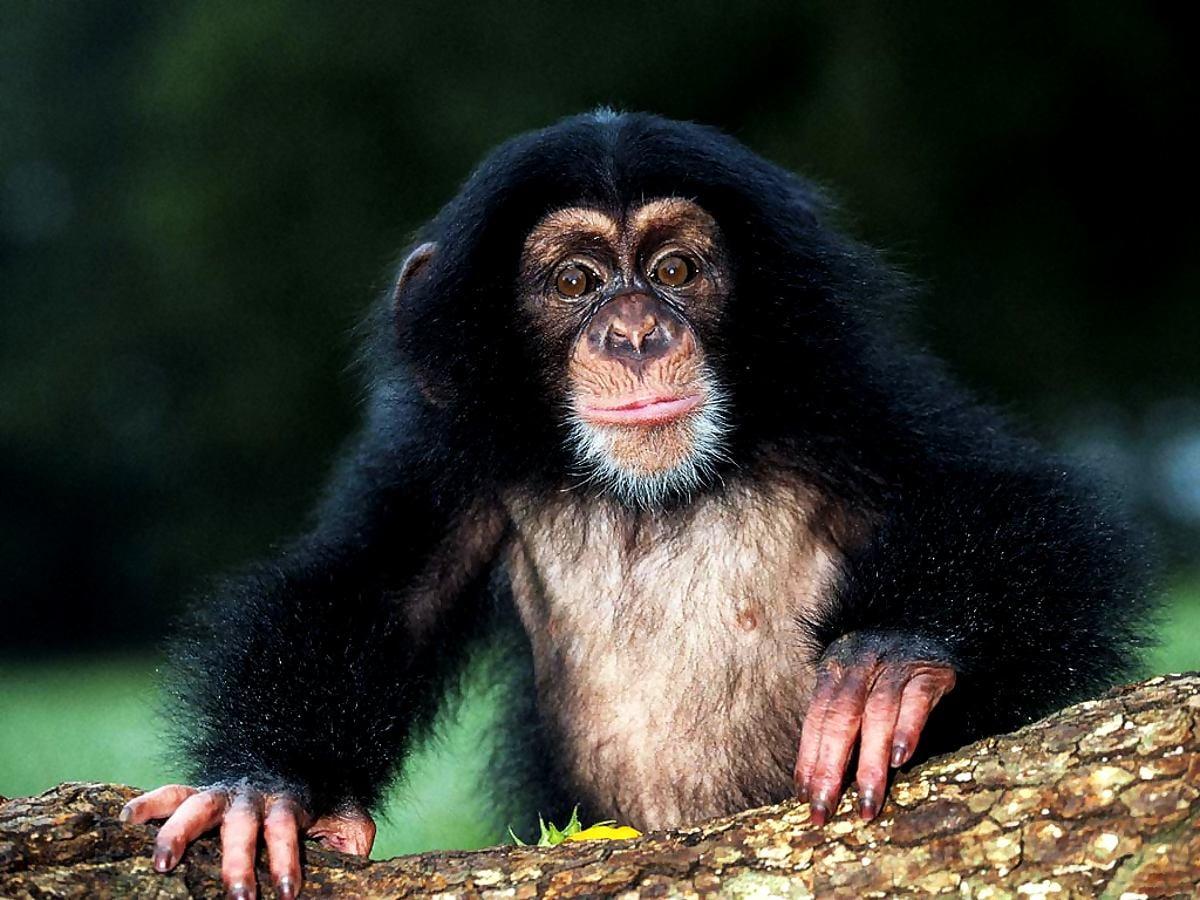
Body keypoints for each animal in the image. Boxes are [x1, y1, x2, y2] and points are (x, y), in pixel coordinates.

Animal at [120, 111, 1153, 899]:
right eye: (576, 280)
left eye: (676, 270)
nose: (633, 332)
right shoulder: (442, 452)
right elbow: (374, 592)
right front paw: (264, 788)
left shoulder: (842, 396)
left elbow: (1012, 508)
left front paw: (894, 660)